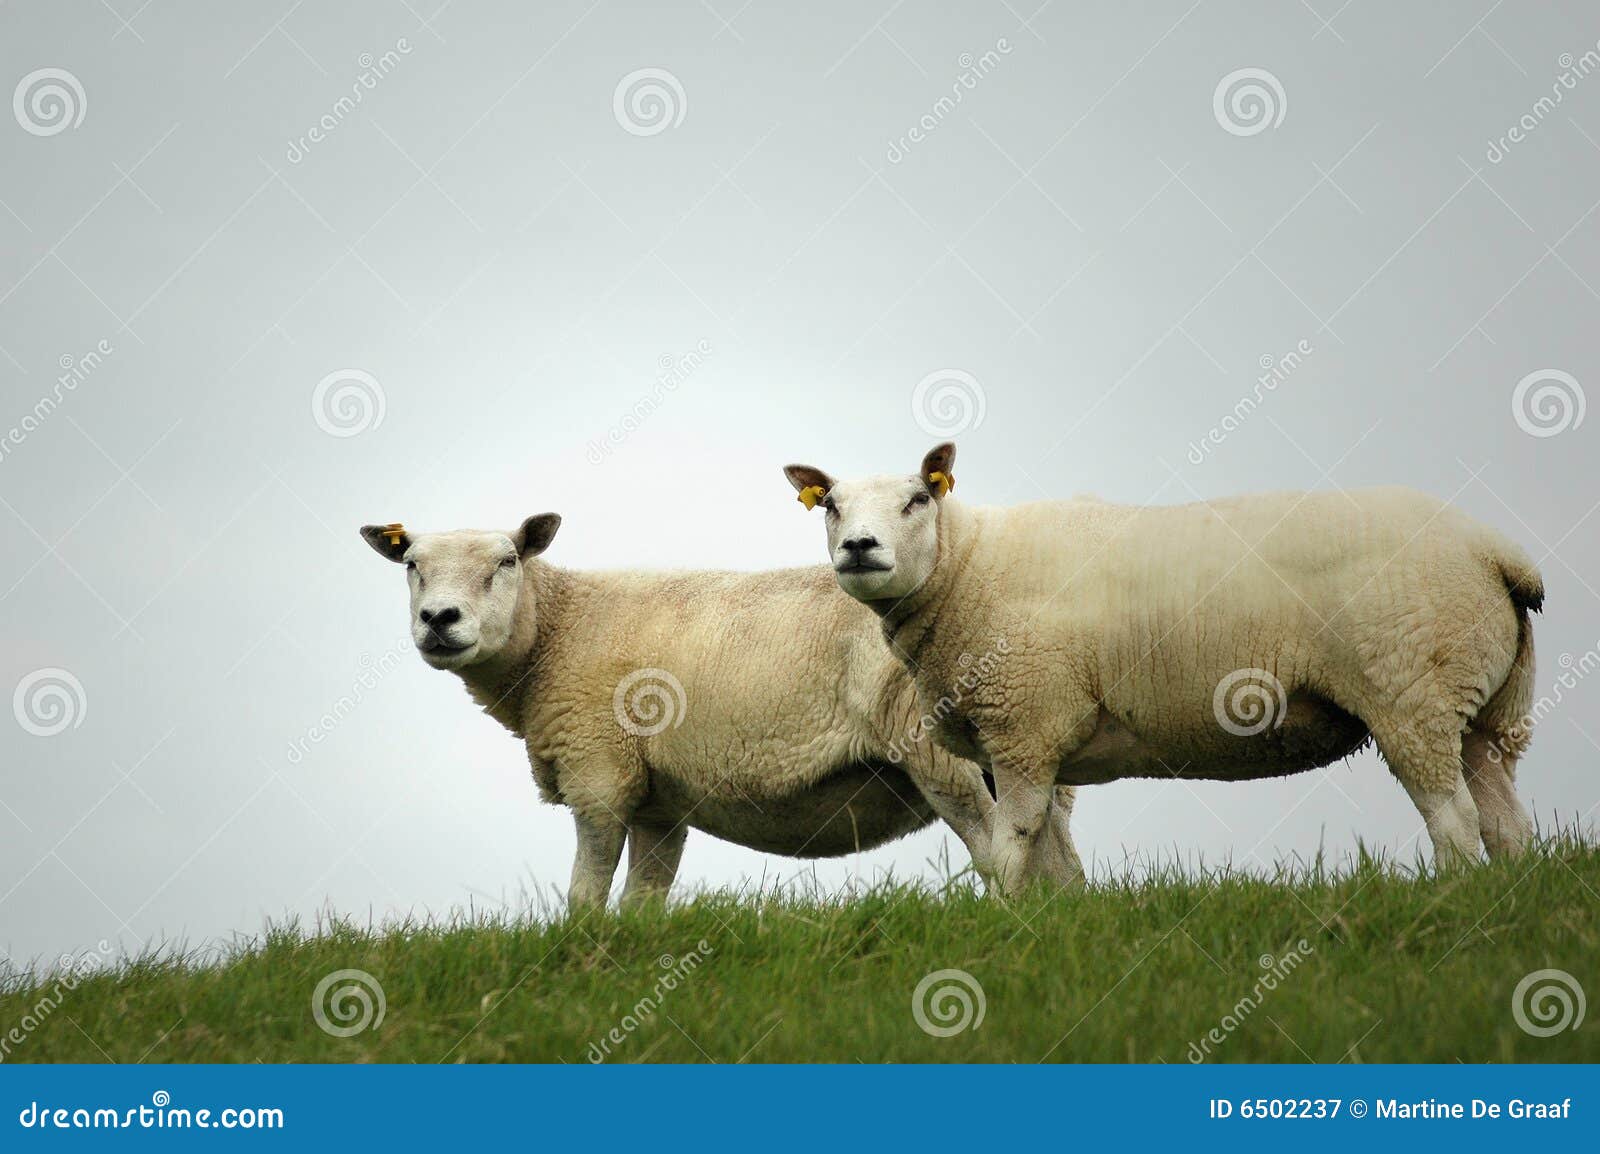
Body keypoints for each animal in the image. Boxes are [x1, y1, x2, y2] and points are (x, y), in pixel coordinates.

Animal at [360, 514, 1082, 909]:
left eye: (507, 560)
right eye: (411, 565)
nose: (439, 619)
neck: (558, 630)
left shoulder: (600, 773)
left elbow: (585, 896)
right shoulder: (658, 802)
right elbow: (642, 902)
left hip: (933, 744)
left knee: (996, 849)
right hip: (1030, 744)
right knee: (1058, 860)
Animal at [785, 443, 1543, 895]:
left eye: (917, 498)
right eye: (831, 505)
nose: (859, 546)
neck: (967, 564)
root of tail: (1493, 551)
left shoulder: (1024, 724)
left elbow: (1010, 847)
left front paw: (1003, 919)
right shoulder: (1032, 741)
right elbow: (1051, 853)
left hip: (1411, 690)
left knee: (1453, 818)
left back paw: (1452, 900)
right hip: (1488, 706)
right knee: (1506, 820)